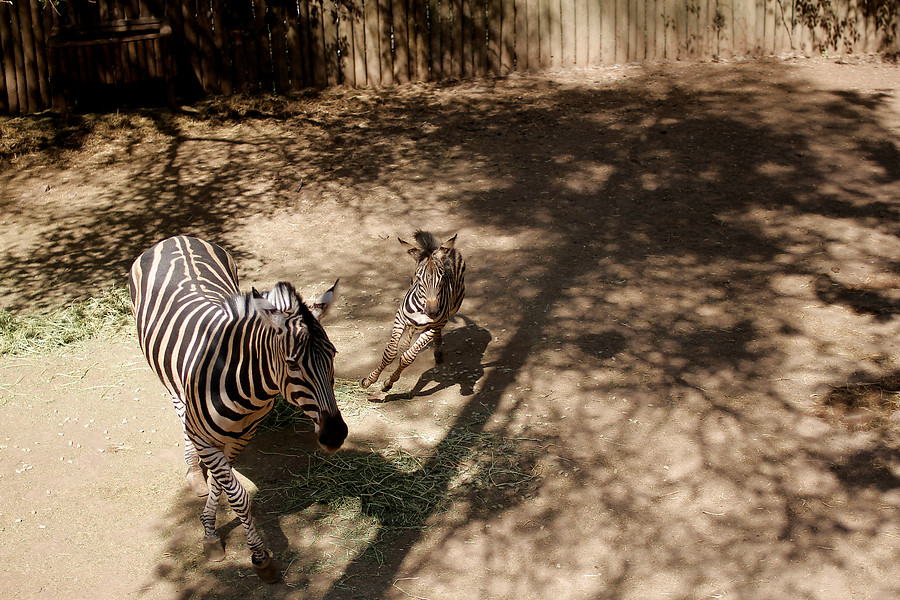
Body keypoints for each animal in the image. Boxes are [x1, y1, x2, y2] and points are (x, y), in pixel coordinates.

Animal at [128, 235, 347, 583]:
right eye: (292, 364)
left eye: (333, 355)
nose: (336, 434)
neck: (247, 386)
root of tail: (177, 238)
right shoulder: (205, 439)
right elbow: (238, 496)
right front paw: (258, 556)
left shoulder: (243, 435)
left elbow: (223, 484)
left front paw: (210, 531)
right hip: (170, 382)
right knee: (180, 411)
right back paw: (193, 471)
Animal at [361, 230, 466, 392]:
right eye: (419, 278)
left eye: (442, 278)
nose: (432, 311)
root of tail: (434, 247)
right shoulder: (400, 317)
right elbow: (390, 353)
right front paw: (368, 380)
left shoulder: (433, 326)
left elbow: (407, 357)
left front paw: (388, 383)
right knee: (410, 331)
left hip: (452, 308)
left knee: (437, 329)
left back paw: (437, 350)